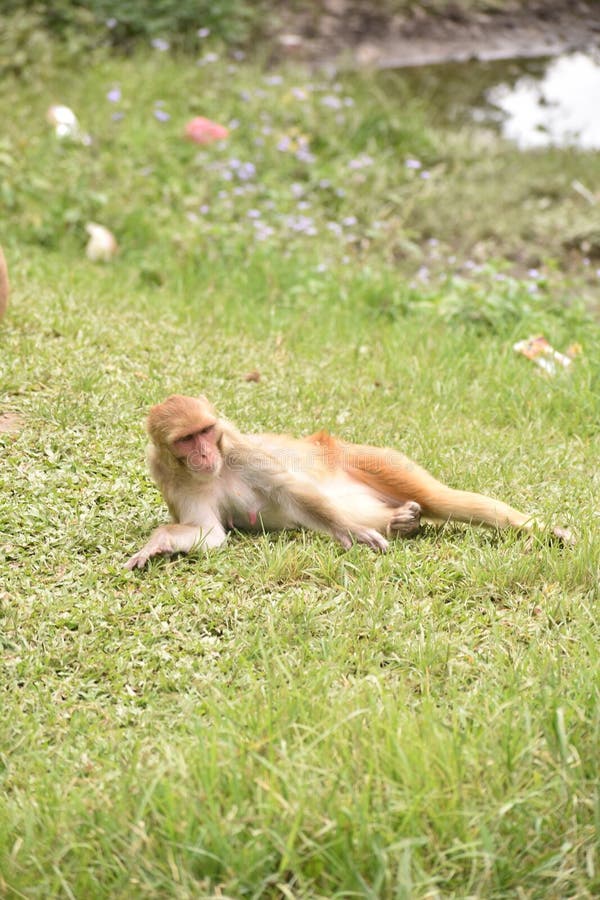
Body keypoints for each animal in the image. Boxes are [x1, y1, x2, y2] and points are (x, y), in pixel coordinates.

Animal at [125, 394, 572, 569]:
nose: (204, 454)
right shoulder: (170, 477)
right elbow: (209, 534)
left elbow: (291, 491)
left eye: (206, 430)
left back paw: (537, 529)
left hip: (378, 461)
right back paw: (401, 521)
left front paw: (352, 534)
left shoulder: (236, 448)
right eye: (186, 439)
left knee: (441, 498)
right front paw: (158, 543)